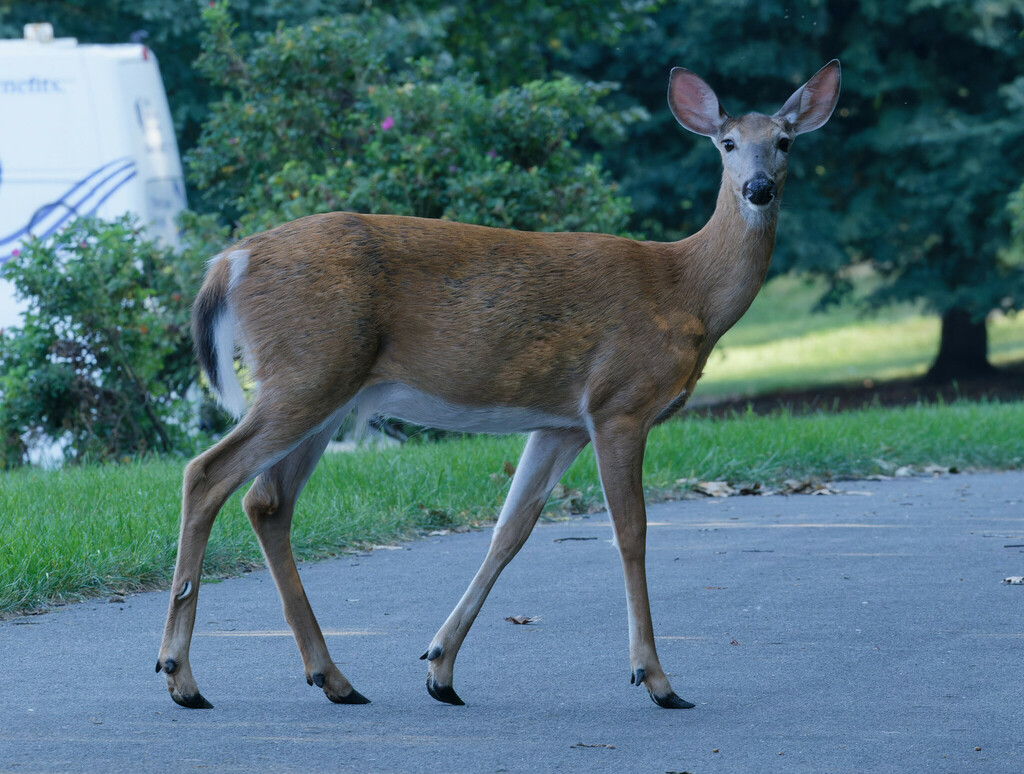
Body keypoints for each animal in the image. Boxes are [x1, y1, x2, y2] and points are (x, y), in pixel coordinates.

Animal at [156, 60, 841, 710]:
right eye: (727, 143)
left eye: (784, 141)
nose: (758, 188)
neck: (687, 290)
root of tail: (228, 261)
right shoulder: (619, 403)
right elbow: (632, 533)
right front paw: (656, 678)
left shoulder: (561, 423)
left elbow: (511, 531)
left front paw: (440, 668)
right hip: (307, 374)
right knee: (206, 473)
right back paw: (181, 675)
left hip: (323, 390)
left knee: (267, 502)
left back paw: (333, 678)